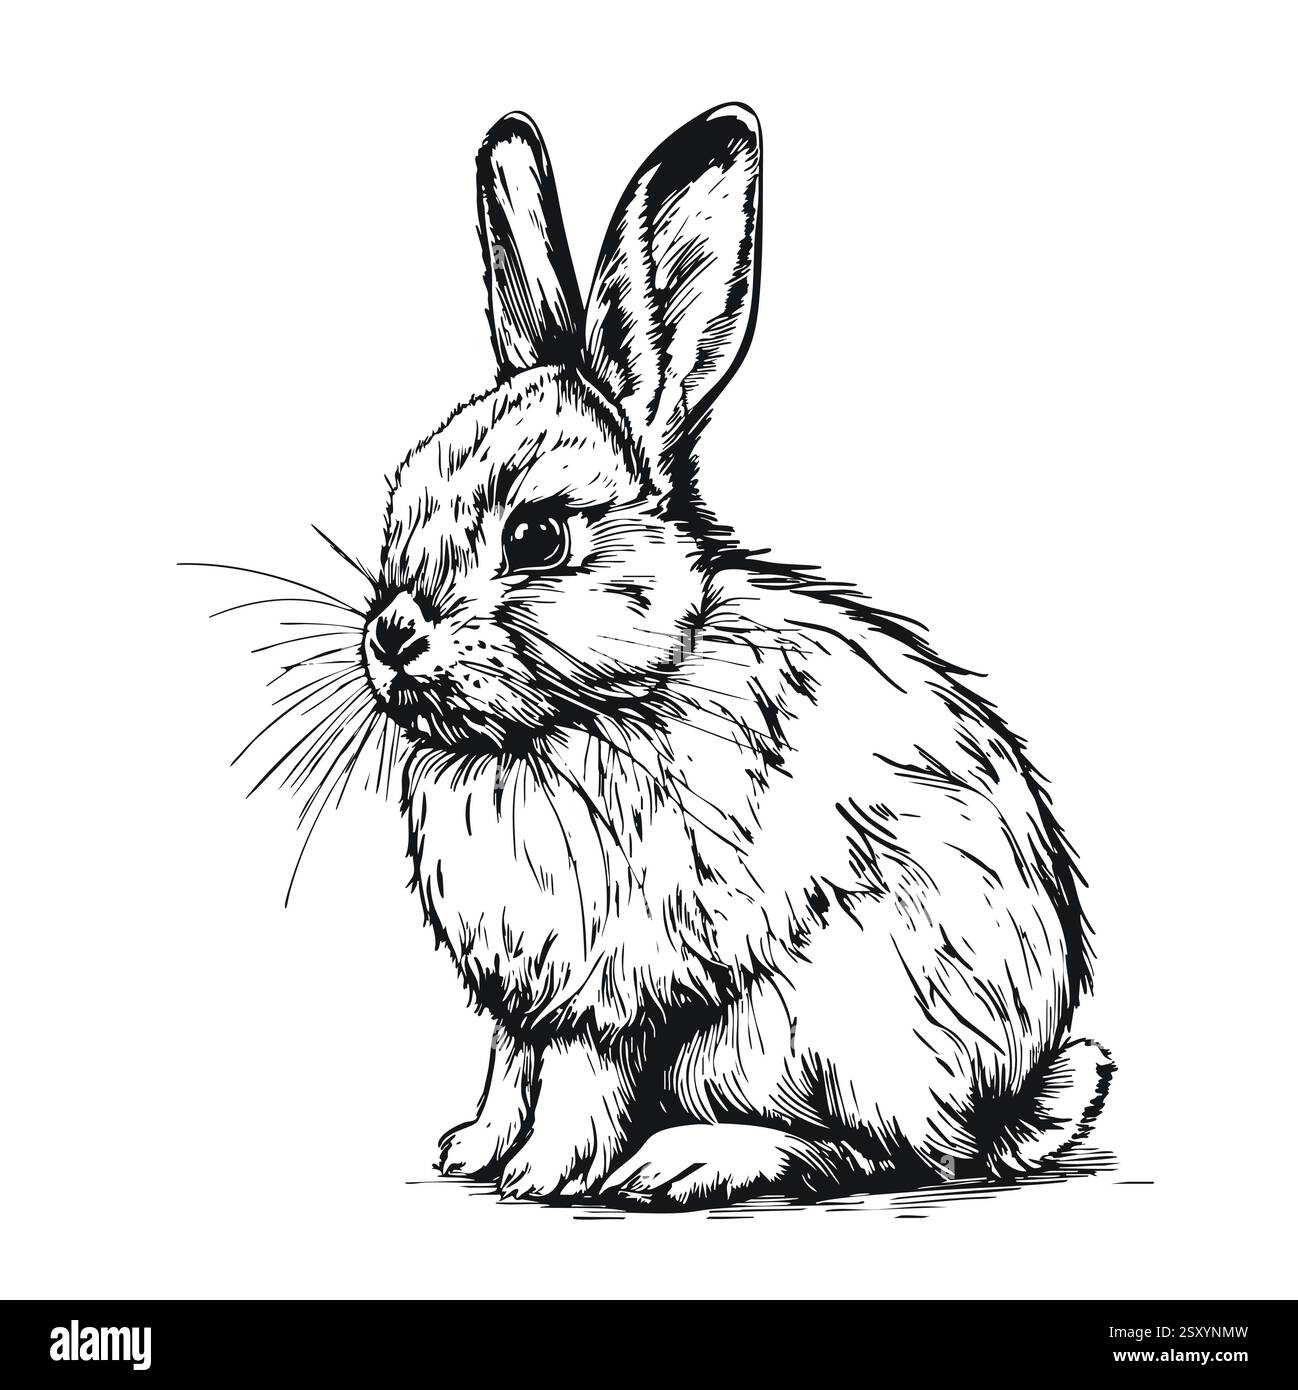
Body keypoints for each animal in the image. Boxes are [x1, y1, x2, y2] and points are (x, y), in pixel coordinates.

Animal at [357, 104, 1112, 1206]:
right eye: (396, 505)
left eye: (536, 535)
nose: (391, 637)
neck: (583, 713)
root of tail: (1002, 1102)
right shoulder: (519, 997)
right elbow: (509, 1063)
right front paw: (474, 1146)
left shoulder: (610, 983)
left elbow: (578, 1077)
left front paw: (542, 1175)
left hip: (811, 1034)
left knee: (878, 1153)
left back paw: (687, 1161)